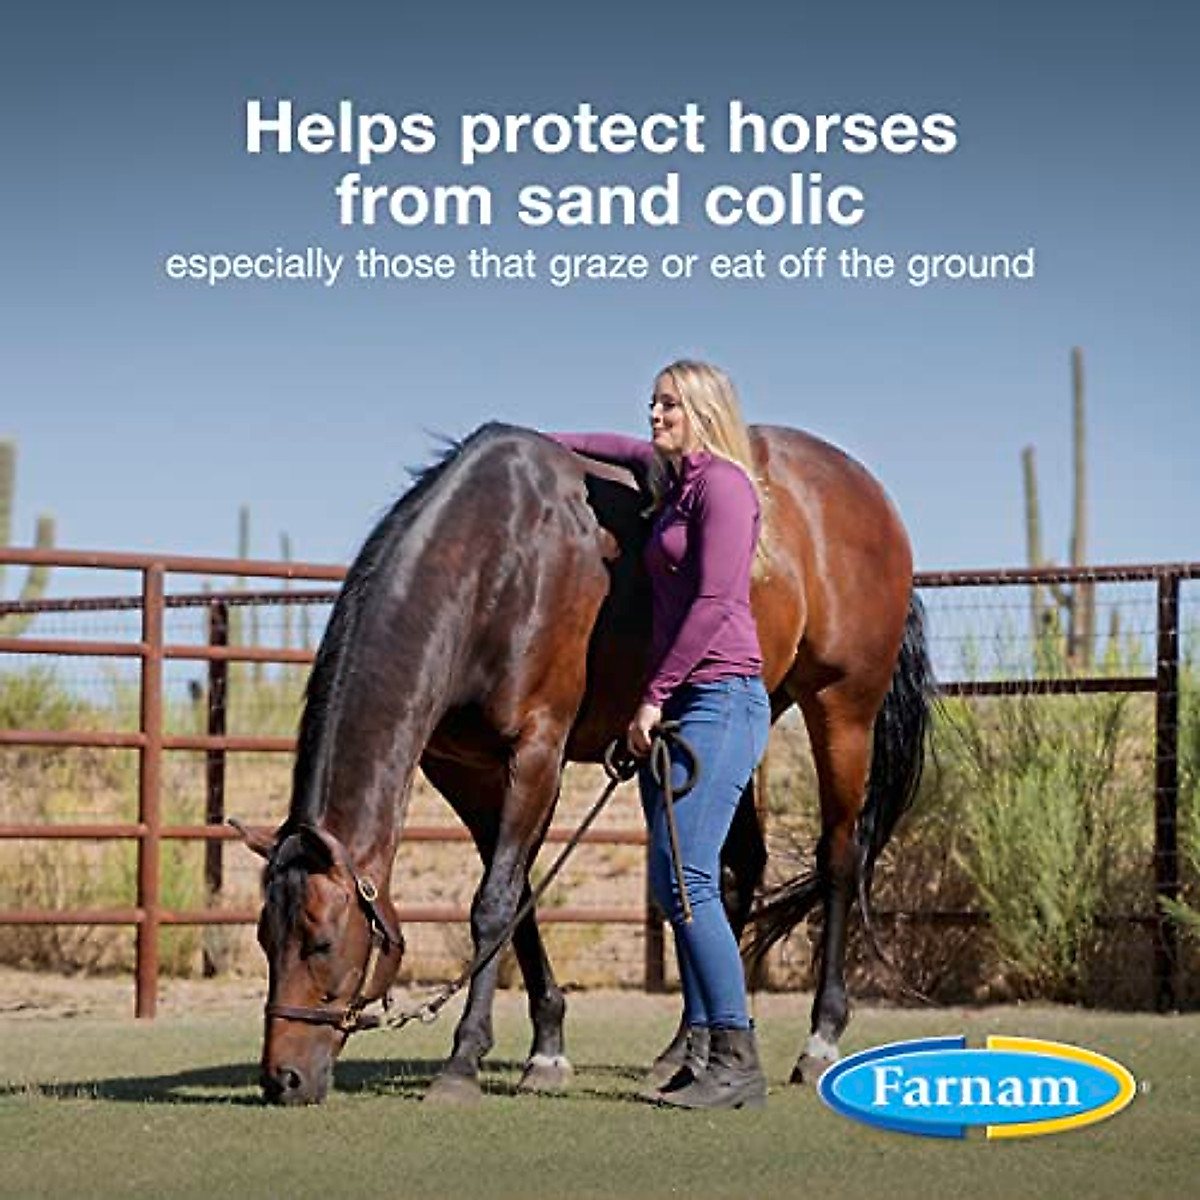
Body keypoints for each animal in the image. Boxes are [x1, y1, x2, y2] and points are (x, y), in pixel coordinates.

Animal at [235, 420, 935, 1105]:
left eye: (321, 943)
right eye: (266, 939)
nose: (282, 1080)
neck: (495, 564)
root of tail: (866, 493)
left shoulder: (537, 753)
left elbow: (494, 904)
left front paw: (463, 1061)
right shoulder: (465, 772)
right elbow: (517, 898)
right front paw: (546, 1049)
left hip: (842, 712)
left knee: (839, 860)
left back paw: (819, 1041)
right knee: (728, 870)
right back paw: (686, 1050)